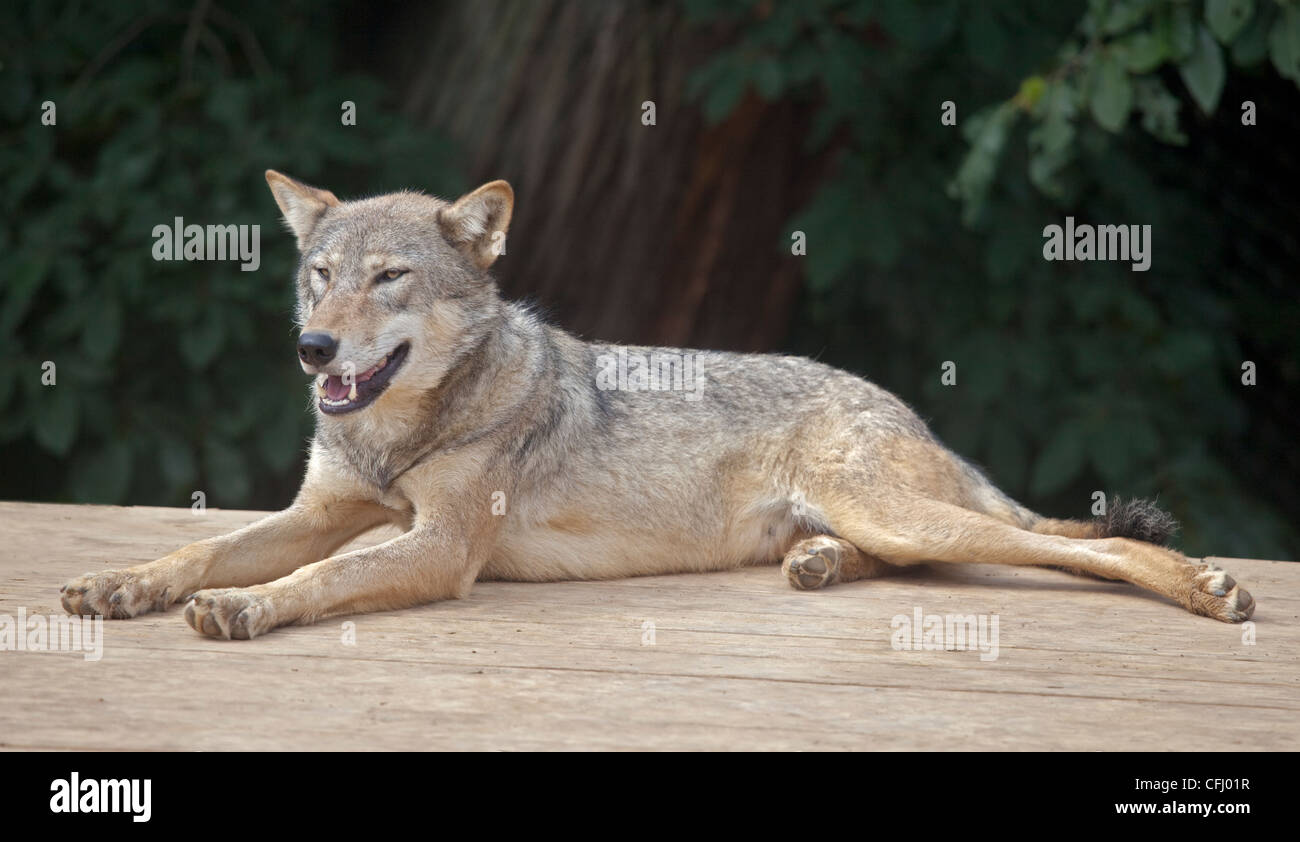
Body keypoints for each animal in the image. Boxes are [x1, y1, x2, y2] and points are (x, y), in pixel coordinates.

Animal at [60, 171, 1256, 638]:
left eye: (388, 280)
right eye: (321, 276)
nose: (314, 350)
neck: (403, 438)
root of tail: (906, 406)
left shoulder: (438, 547)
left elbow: (312, 581)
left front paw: (244, 609)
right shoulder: (317, 510)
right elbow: (201, 549)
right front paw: (124, 583)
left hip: (907, 512)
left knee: (1083, 547)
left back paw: (1208, 587)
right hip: (886, 522)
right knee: (918, 561)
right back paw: (817, 566)